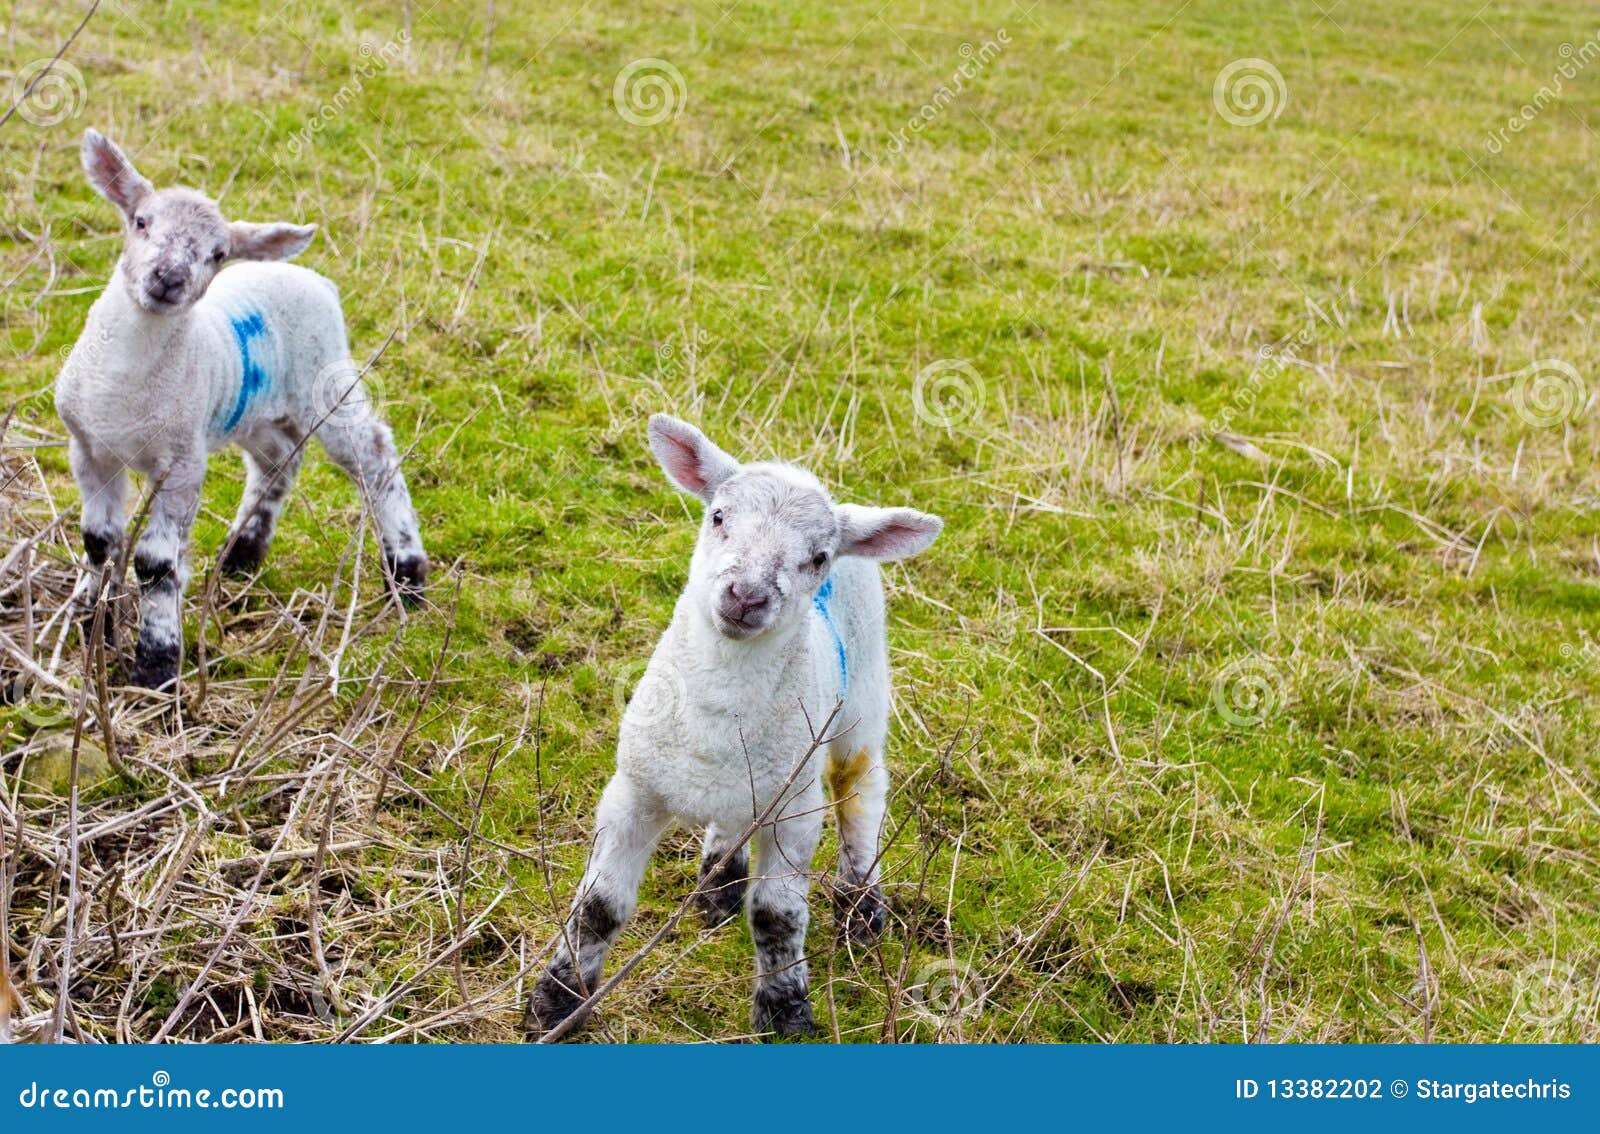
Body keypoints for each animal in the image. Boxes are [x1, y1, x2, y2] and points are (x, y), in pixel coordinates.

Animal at [54, 130, 427, 691]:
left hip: (327, 382)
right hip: (254, 411)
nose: (168, 278)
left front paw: (155, 668)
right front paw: (89, 625)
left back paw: (406, 577)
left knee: (376, 457)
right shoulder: (90, 448)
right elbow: (100, 541)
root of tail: (314, 280)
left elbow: (155, 563)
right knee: (278, 460)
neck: (125, 381)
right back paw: (241, 553)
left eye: (218, 253)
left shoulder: (182, 461)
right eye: (141, 221)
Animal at [525, 413, 942, 1038]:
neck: (718, 717)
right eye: (718, 516)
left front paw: (786, 1013)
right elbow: (599, 907)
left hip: (862, 694)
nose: (746, 596)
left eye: (818, 557)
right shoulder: (633, 791)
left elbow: (777, 916)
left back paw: (862, 906)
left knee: (861, 790)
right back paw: (719, 884)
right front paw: (556, 1004)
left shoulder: (794, 812)